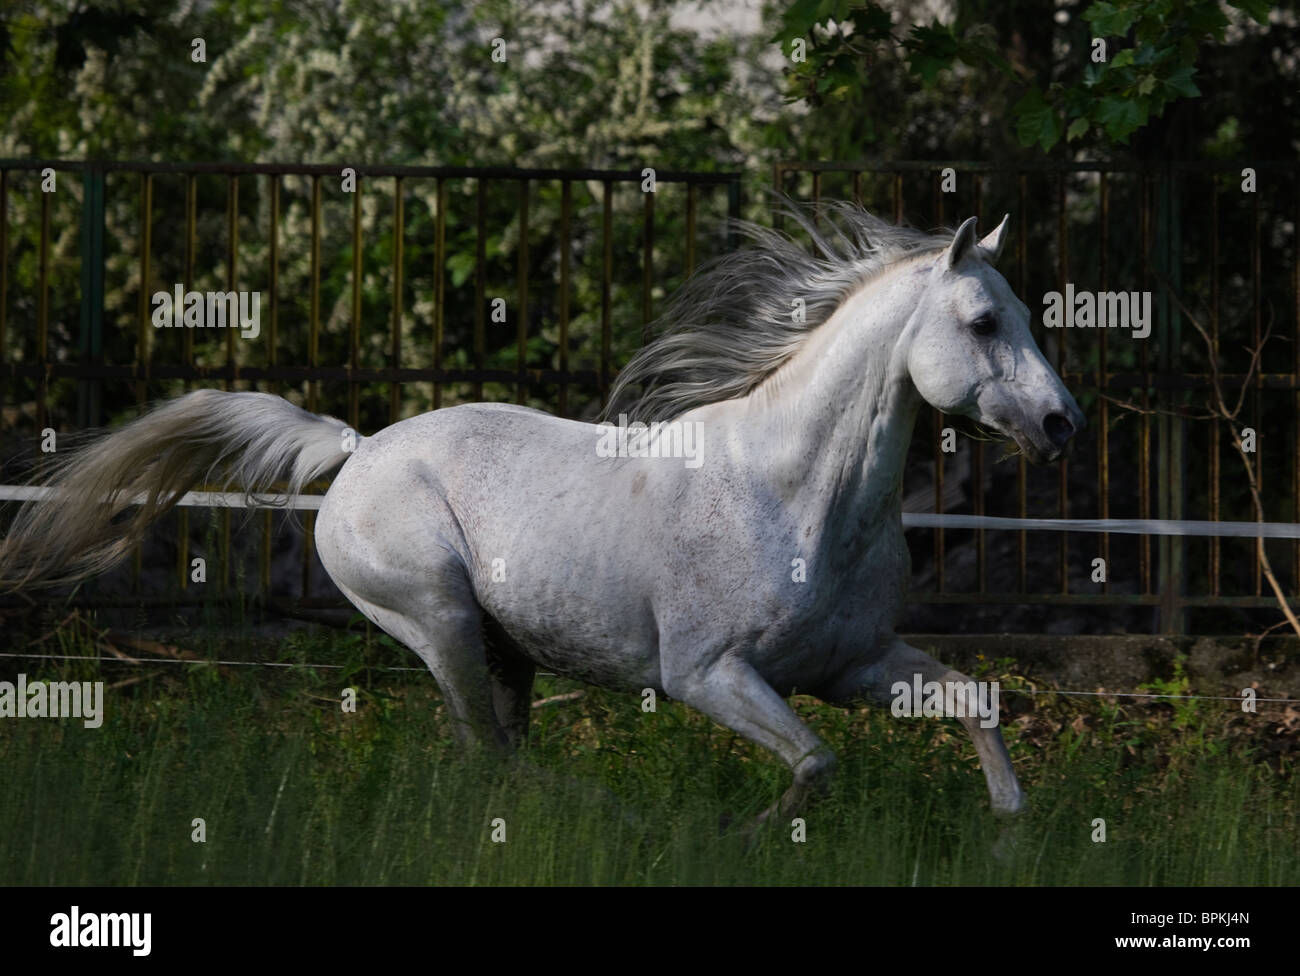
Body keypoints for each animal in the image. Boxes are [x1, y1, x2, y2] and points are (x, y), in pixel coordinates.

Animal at [0, 201, 1084, 828]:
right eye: (982, 320)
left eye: (1029, 316)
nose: (1060, 423)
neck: (797, 497)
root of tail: (358, 449)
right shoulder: (707, 675)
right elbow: (815, 765)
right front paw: (740, 838)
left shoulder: (849, 666)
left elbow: (974, 703)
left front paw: (1011, 831)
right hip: (436, 620)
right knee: (490, 759)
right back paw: (609, 818)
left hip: (504, 648)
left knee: (498, 757)